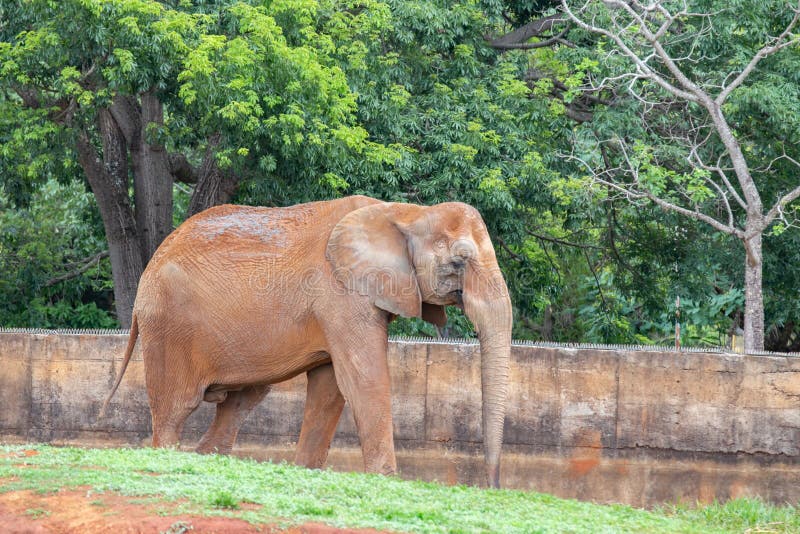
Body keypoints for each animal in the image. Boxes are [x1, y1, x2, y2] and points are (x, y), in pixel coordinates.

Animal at [100, 195, 512, 487]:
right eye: (459, 261)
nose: (491, 487)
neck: (406, 212)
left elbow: (330, 388)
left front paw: (306, 472)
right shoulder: (340, 294)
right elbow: (363, 379)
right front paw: (386, 480)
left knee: (242, 401)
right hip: (168, 327)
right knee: (175, 408)